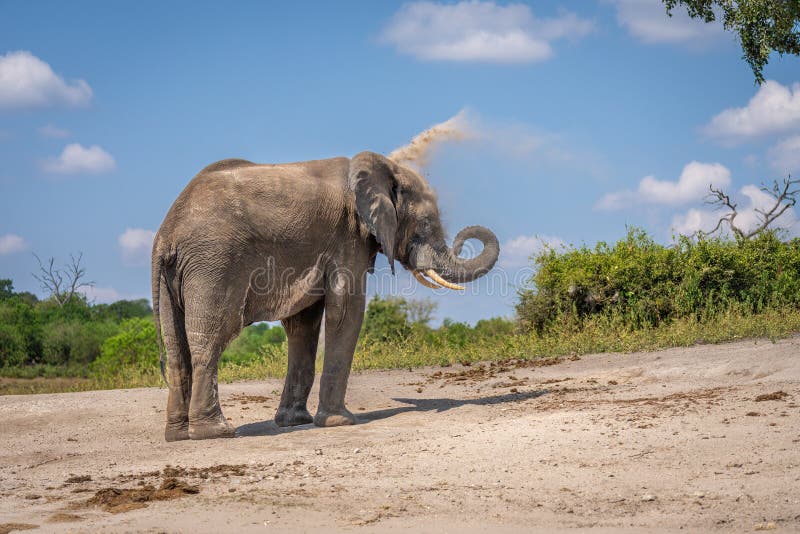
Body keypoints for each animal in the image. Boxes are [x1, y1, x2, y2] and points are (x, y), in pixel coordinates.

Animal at [151, 151, 499, 441]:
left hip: (177, 276)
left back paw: (178, 435)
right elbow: (346, 309)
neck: (380, 168)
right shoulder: (348, 235)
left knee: (176, 348)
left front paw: (296, 422)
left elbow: (303, 324)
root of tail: (167, 232)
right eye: (424, 224)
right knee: (211, 338)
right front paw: (340, 422)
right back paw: (216, 432)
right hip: (214, 263)